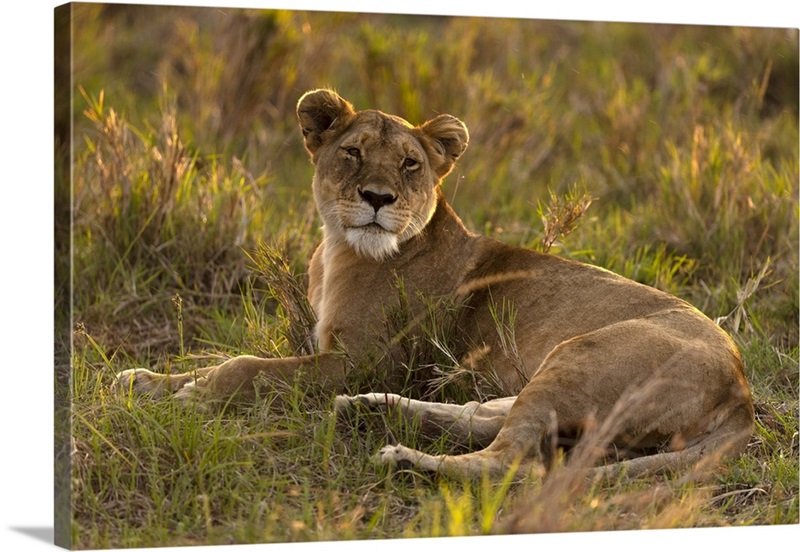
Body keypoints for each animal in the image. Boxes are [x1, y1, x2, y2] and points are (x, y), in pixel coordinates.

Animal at [116, 89, 754, 481]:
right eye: (352, 153)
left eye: (410, 164)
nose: (377, 198)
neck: (338, 250)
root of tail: (743, 390)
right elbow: (213, 359)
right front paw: (144, 379)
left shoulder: (359, 359)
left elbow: (244, 366)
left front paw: (193, 396)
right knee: (483, 414)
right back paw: (369, 411)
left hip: (582, 354)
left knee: (509, 460)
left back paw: (399, 453)